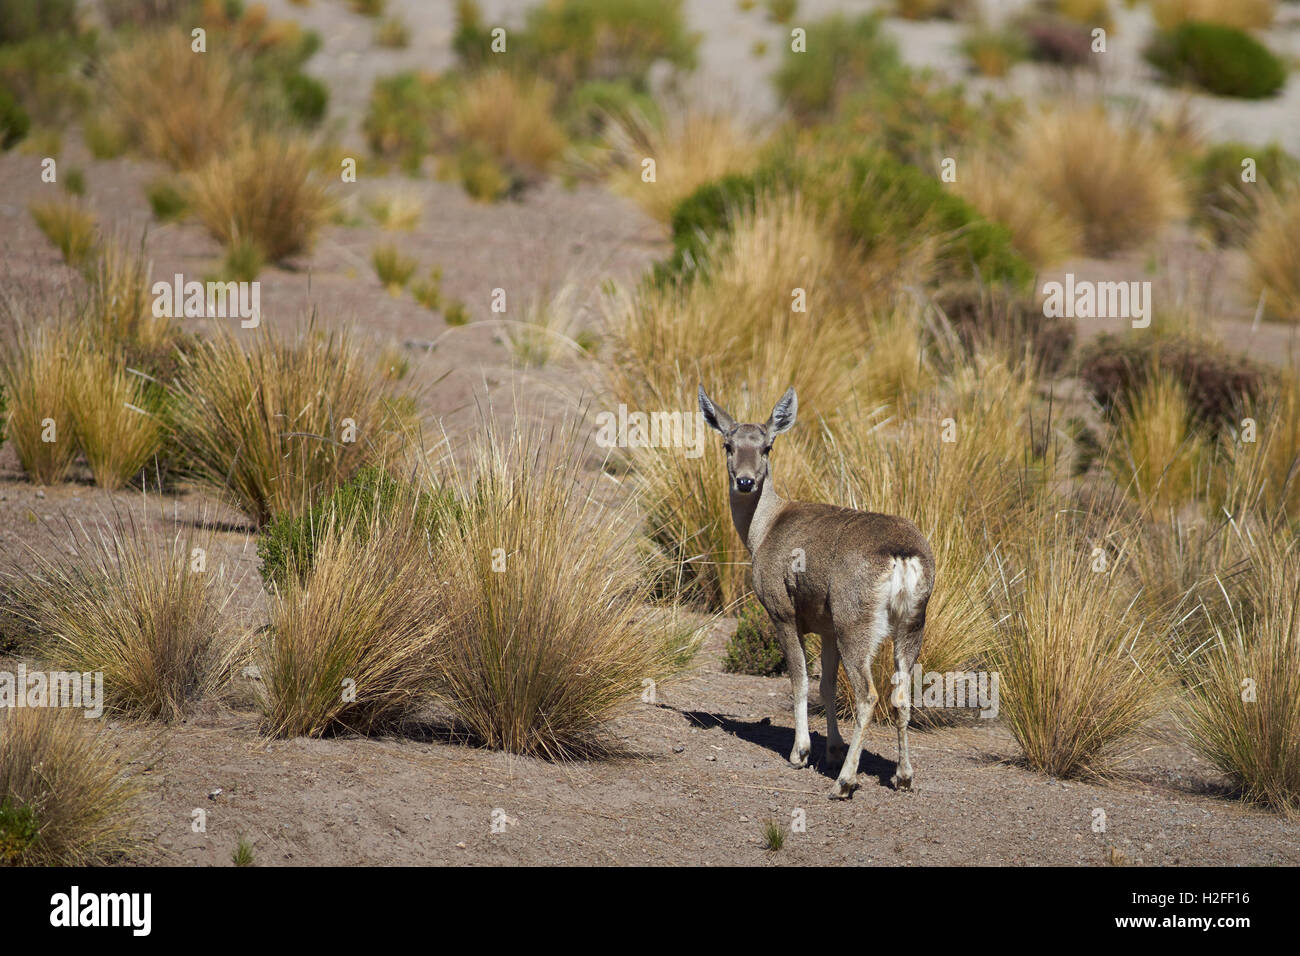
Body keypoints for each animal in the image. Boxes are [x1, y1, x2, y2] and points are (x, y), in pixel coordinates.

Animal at [698, 385, 935, 799]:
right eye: (728, 444)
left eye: (767, 447)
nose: (745, 481)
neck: (762, 532)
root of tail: (903, 558)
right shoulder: (825, 626)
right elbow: (825, 685)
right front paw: (833, 749)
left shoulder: (781, 609)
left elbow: (800, 680)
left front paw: (802, 752)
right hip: (912, 622)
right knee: (903, 693)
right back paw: (903, 776)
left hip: (855, 619)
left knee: (868, 695)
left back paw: (845, 783)